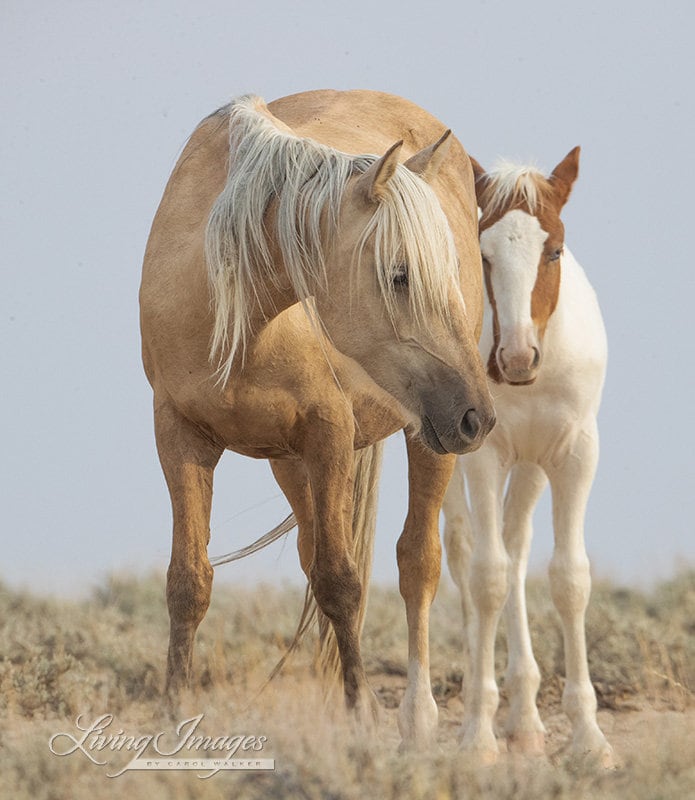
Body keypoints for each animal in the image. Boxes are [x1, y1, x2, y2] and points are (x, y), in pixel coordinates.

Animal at [139, 90, 495, 748]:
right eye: (399, 274)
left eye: (450, 273)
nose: (477, 418)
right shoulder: (179, 437)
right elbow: (188, 582)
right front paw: (172, 719)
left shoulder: (330, 434)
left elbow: (340, 580)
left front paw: (360, 720)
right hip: (290, 462)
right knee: (313, 551)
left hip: (424, 440)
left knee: (417, 562)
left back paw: (416, 718)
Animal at [442, 148, 614, 765]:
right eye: (483, 253)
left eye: (554, 249)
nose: (516, 358)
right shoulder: (483, 454)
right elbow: (487, 576)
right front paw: (476, 737)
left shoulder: (574, 453)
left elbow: (568, 578)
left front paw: (589, 739)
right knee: (456, 552)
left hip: (533, 468)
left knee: (515, 546)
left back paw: (525, 722)